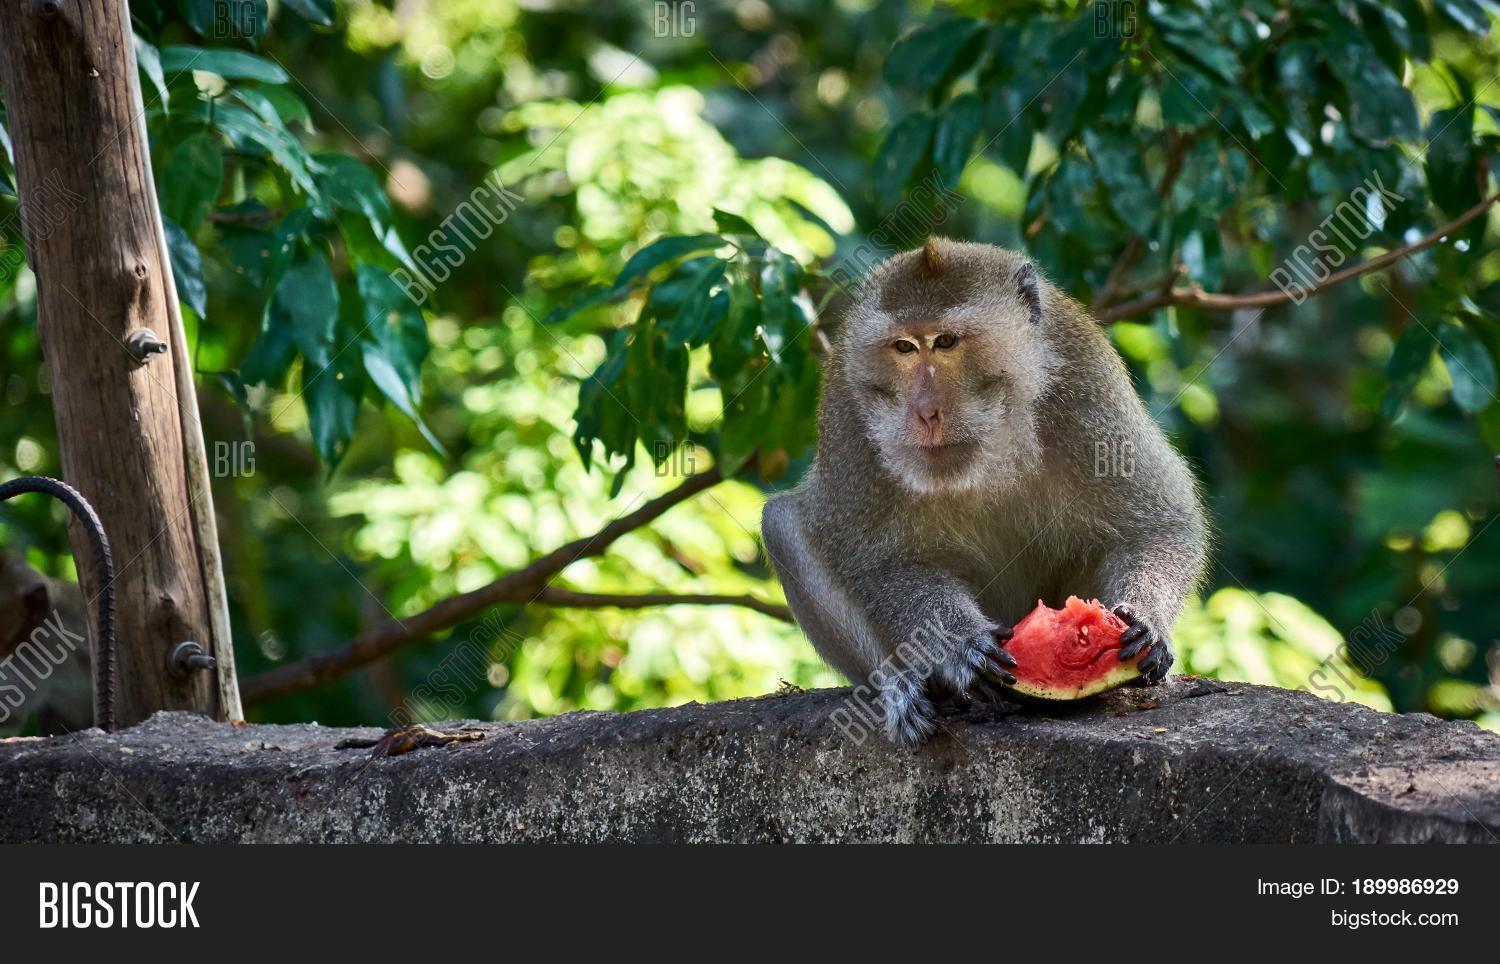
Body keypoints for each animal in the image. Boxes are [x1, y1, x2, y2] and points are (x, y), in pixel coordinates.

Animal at [762, 238, 1207, 745]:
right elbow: (879, 560)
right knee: (781, 523)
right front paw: (959, 644)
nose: (926, 412)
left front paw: (1147, 622)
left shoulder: (1084, 386)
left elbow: (1157, 524)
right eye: (904, 347)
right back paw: (904, 684)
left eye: (946, 342)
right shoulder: (847, 412)